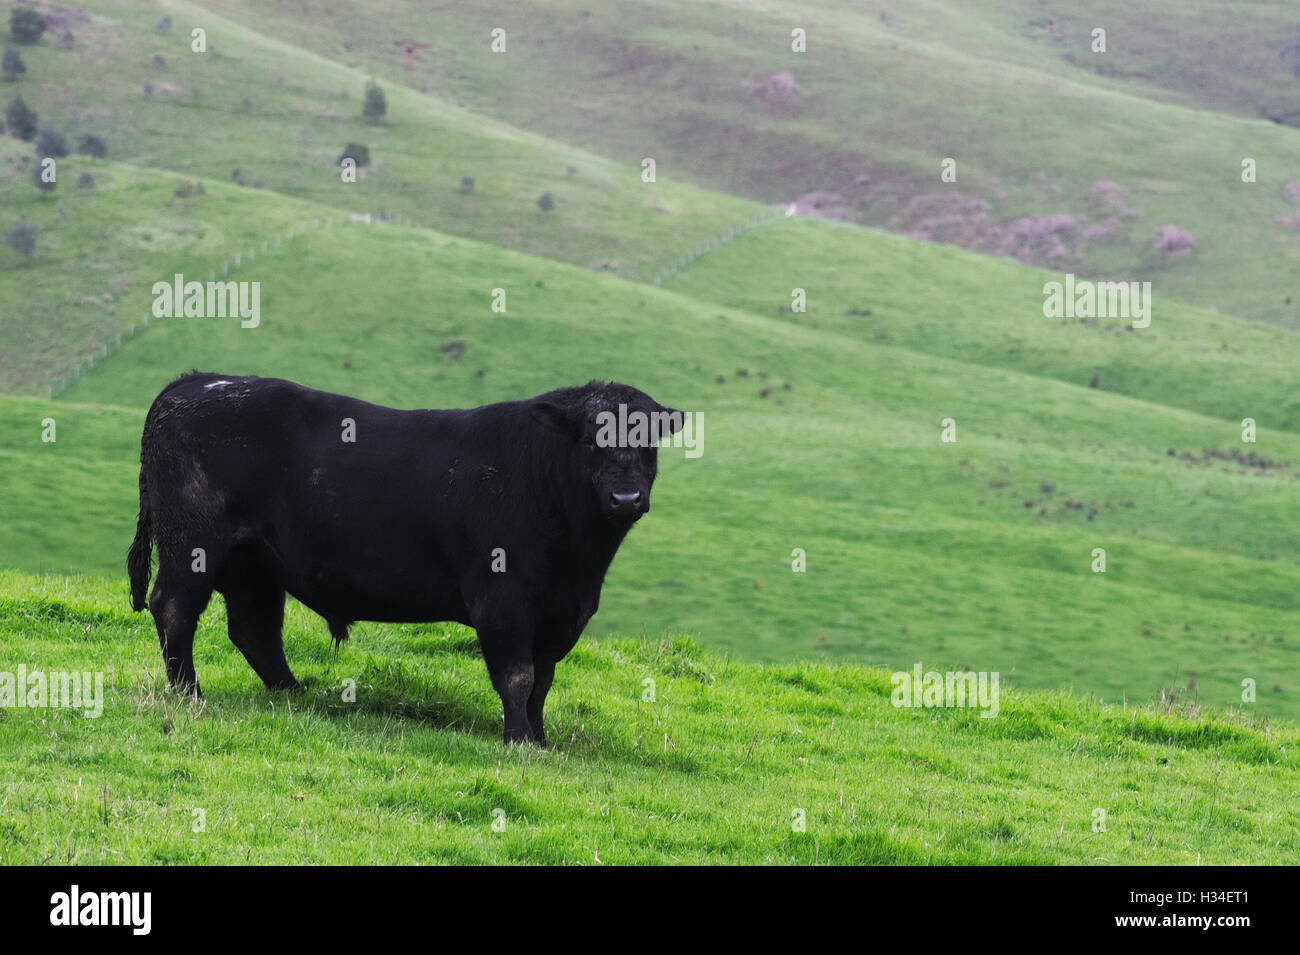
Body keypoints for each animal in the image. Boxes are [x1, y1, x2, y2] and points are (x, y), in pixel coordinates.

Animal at [127, 372, 683, 744]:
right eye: (591, 438)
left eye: (649, 441)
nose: (627, 497)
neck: (578, 561)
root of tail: (195, 382)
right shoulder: (501, 599)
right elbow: (517, 676)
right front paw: (519, 740)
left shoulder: (561, 611)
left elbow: (542, 681)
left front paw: (540, 737)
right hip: (192, 548)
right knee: (174, 609)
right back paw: (190, 693)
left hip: (254, 564)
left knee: (254, 630)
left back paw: (294, 694)